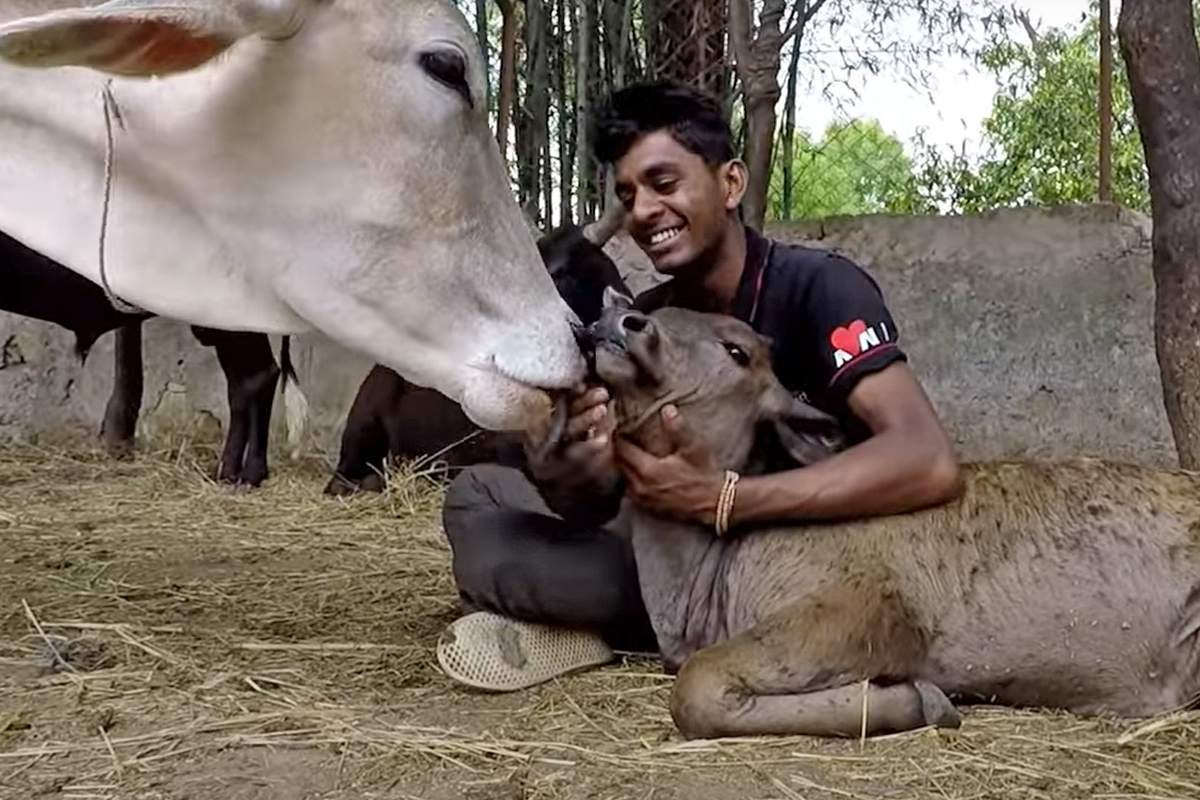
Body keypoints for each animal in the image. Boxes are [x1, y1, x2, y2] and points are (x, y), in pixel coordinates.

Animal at [591, 296, 1200, 740]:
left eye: (737, 350)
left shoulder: (868, 607)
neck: (708, 582)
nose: (621, 319)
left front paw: (920, 699)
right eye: (659, 308)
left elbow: (696, 688)